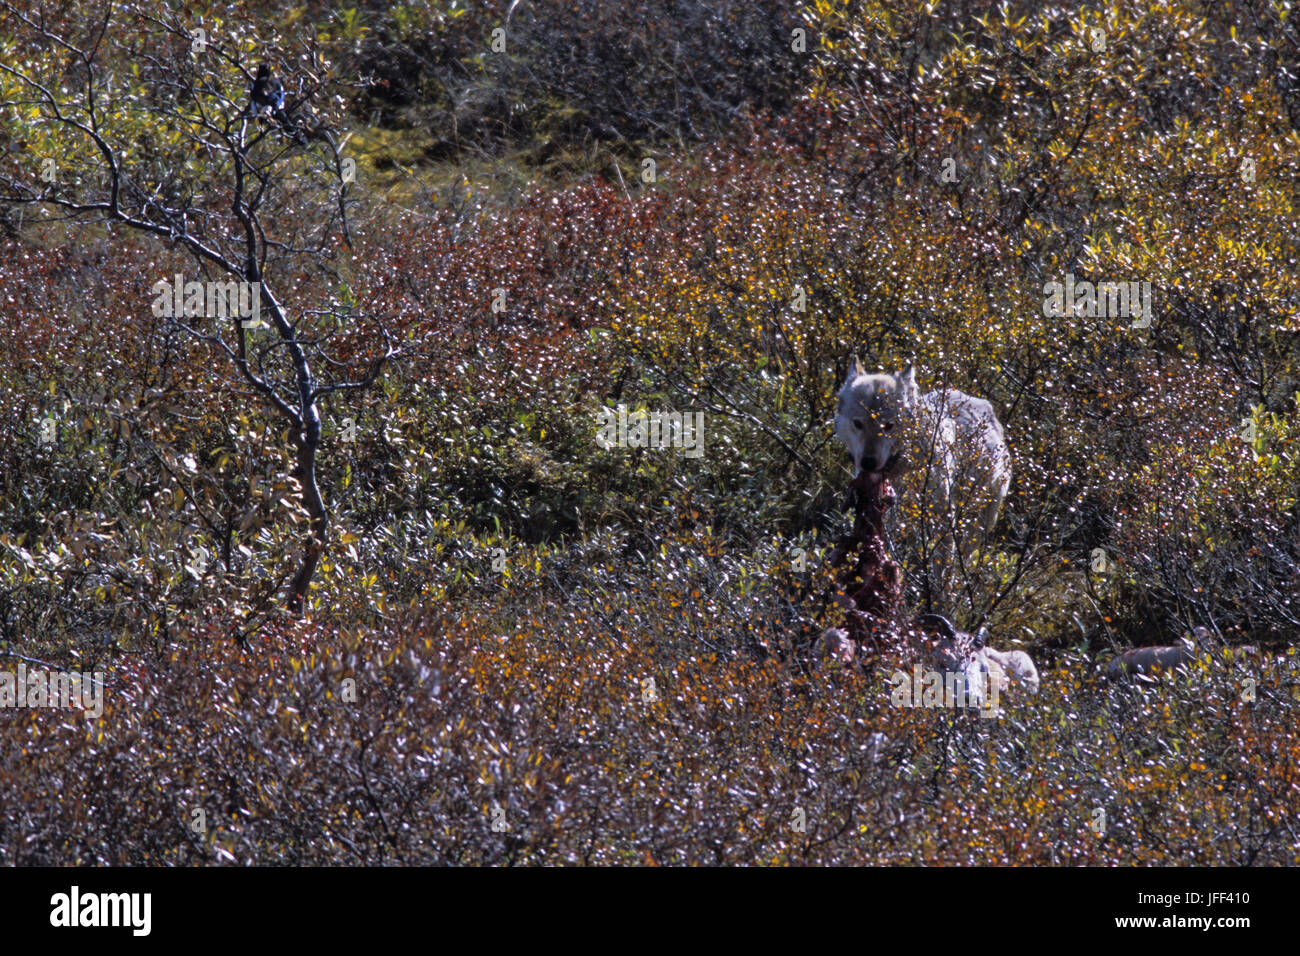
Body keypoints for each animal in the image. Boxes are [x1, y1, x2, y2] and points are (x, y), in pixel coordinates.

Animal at [834, 358, 1012, 557]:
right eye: (858, 424)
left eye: (889, 425)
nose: (868, 463)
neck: (902, 466)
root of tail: (987, 406)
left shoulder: (942, 514)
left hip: (978, 518)